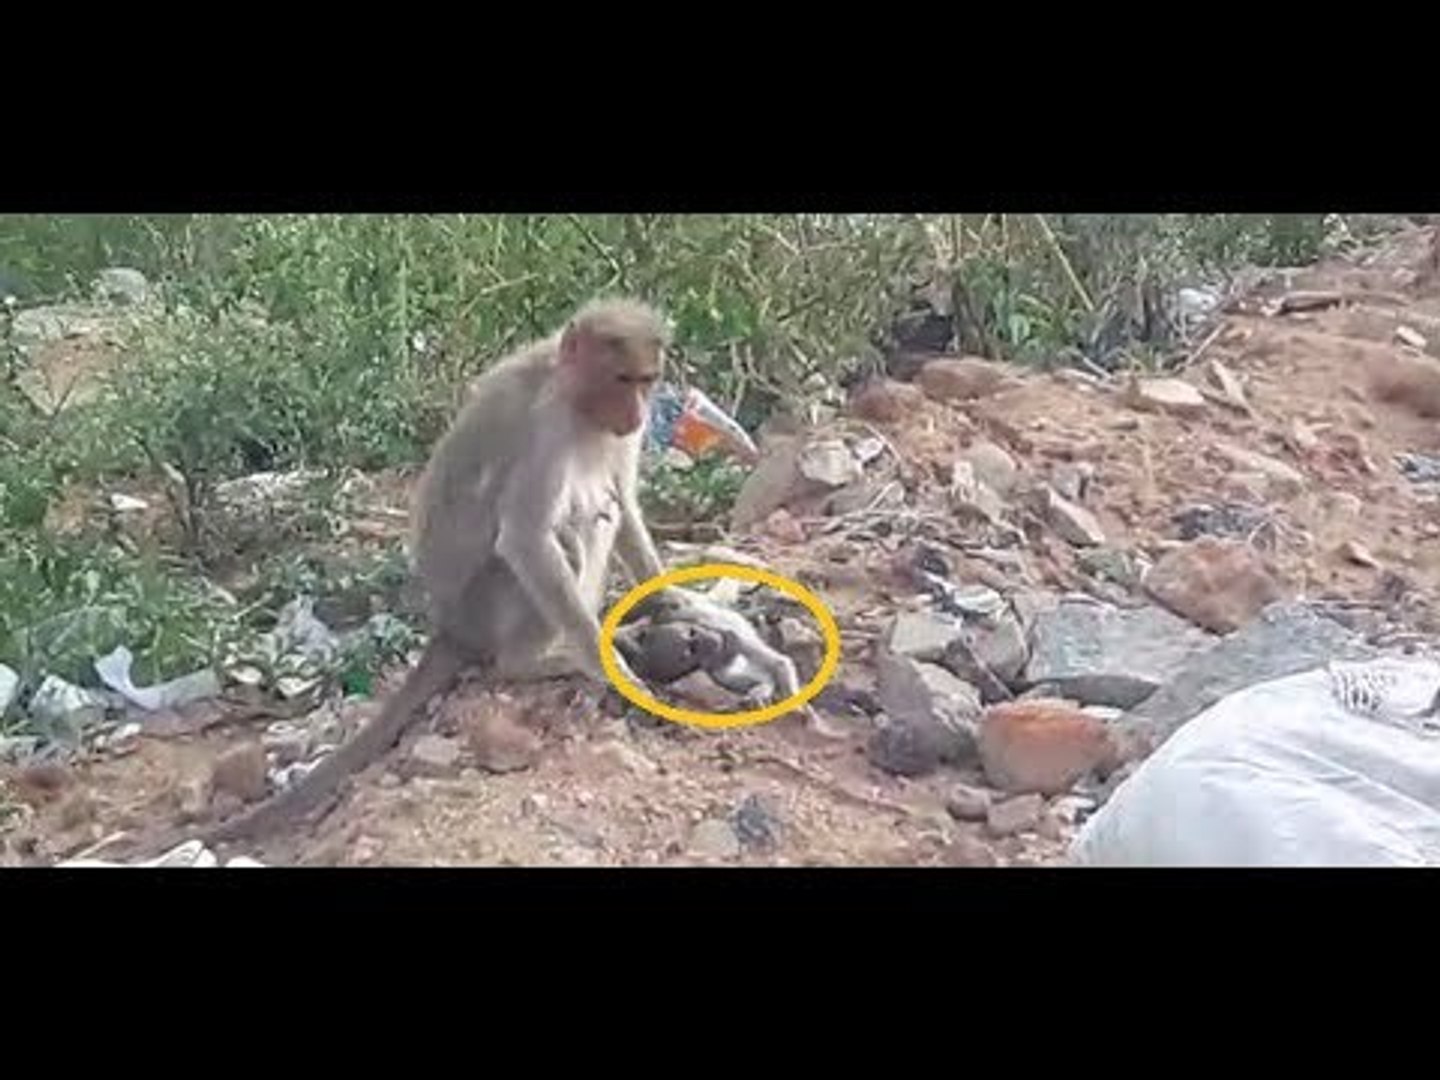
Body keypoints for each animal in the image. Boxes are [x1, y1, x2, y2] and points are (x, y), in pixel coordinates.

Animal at [131, 297, 676, 857]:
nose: (637, 414)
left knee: (601, 509)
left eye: (646, 380)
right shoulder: (545, 426)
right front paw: (609, 666)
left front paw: (670, 599)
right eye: (620, 378)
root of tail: (450, 627)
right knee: (565, 534)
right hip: (486, 606)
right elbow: (525, 538)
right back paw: (528, 662)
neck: (574, 397)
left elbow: (623, 499)